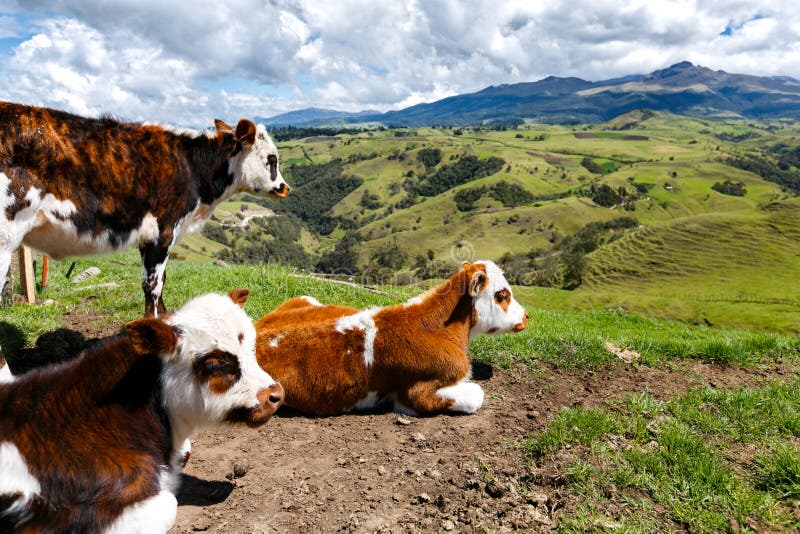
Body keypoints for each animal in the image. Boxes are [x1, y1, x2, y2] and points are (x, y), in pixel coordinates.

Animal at [0, 101, 289, 317]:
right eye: (271, 159)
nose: (285, 187)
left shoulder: (149, 236)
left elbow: (161, 281)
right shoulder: (163, 230)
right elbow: (153, 285)